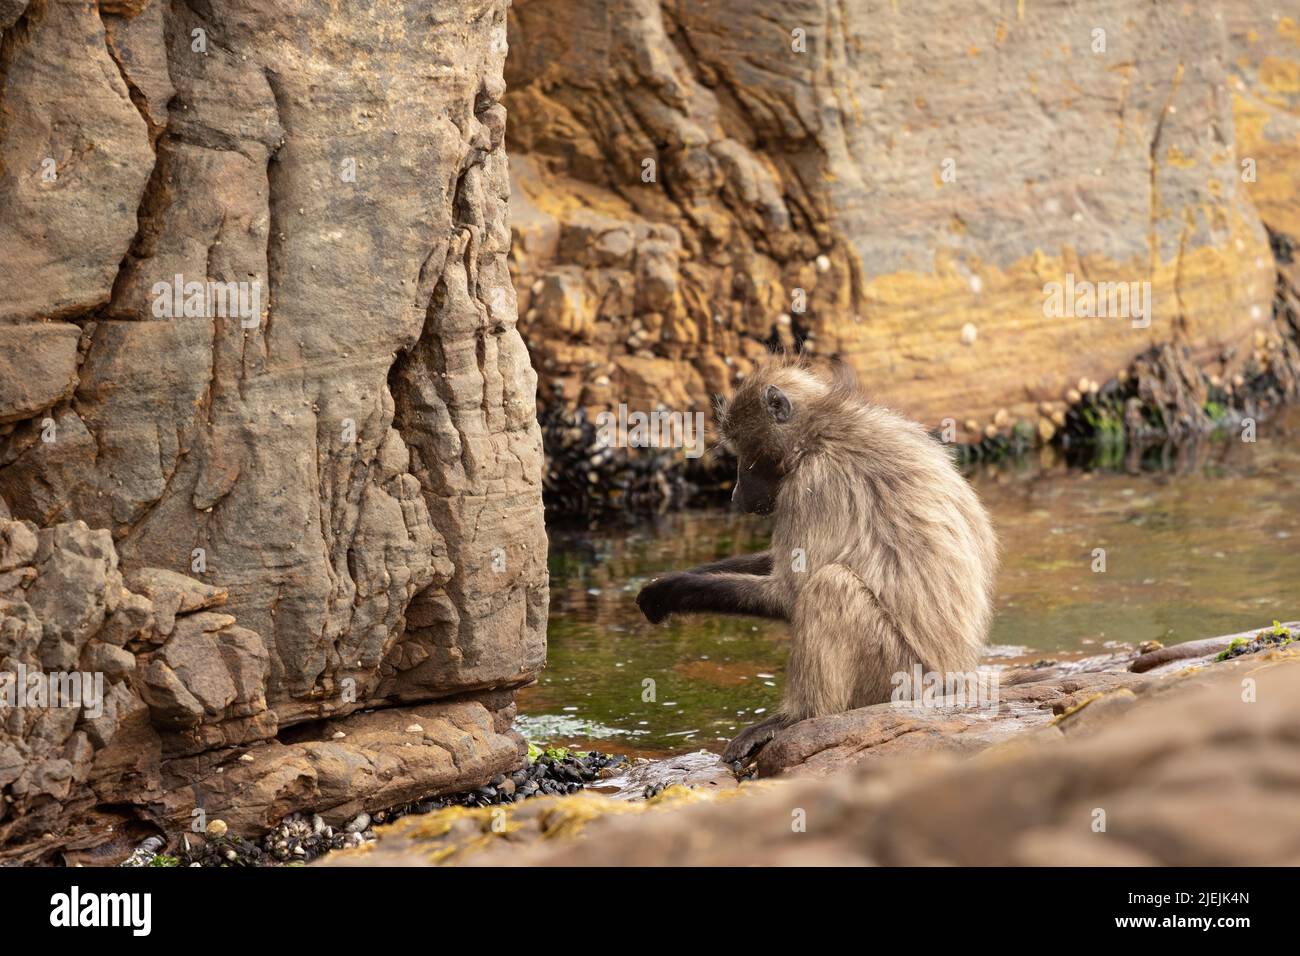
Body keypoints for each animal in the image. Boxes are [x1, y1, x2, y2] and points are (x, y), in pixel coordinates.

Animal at [636, 356, 998, 764]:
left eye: (743, 450)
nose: (734, 495)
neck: (820, 431)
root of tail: (956, 680)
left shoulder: (811, 484)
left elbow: (789, 593)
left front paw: (670, 591)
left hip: (899, 678)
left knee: (829, 586)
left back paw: (796, 718)